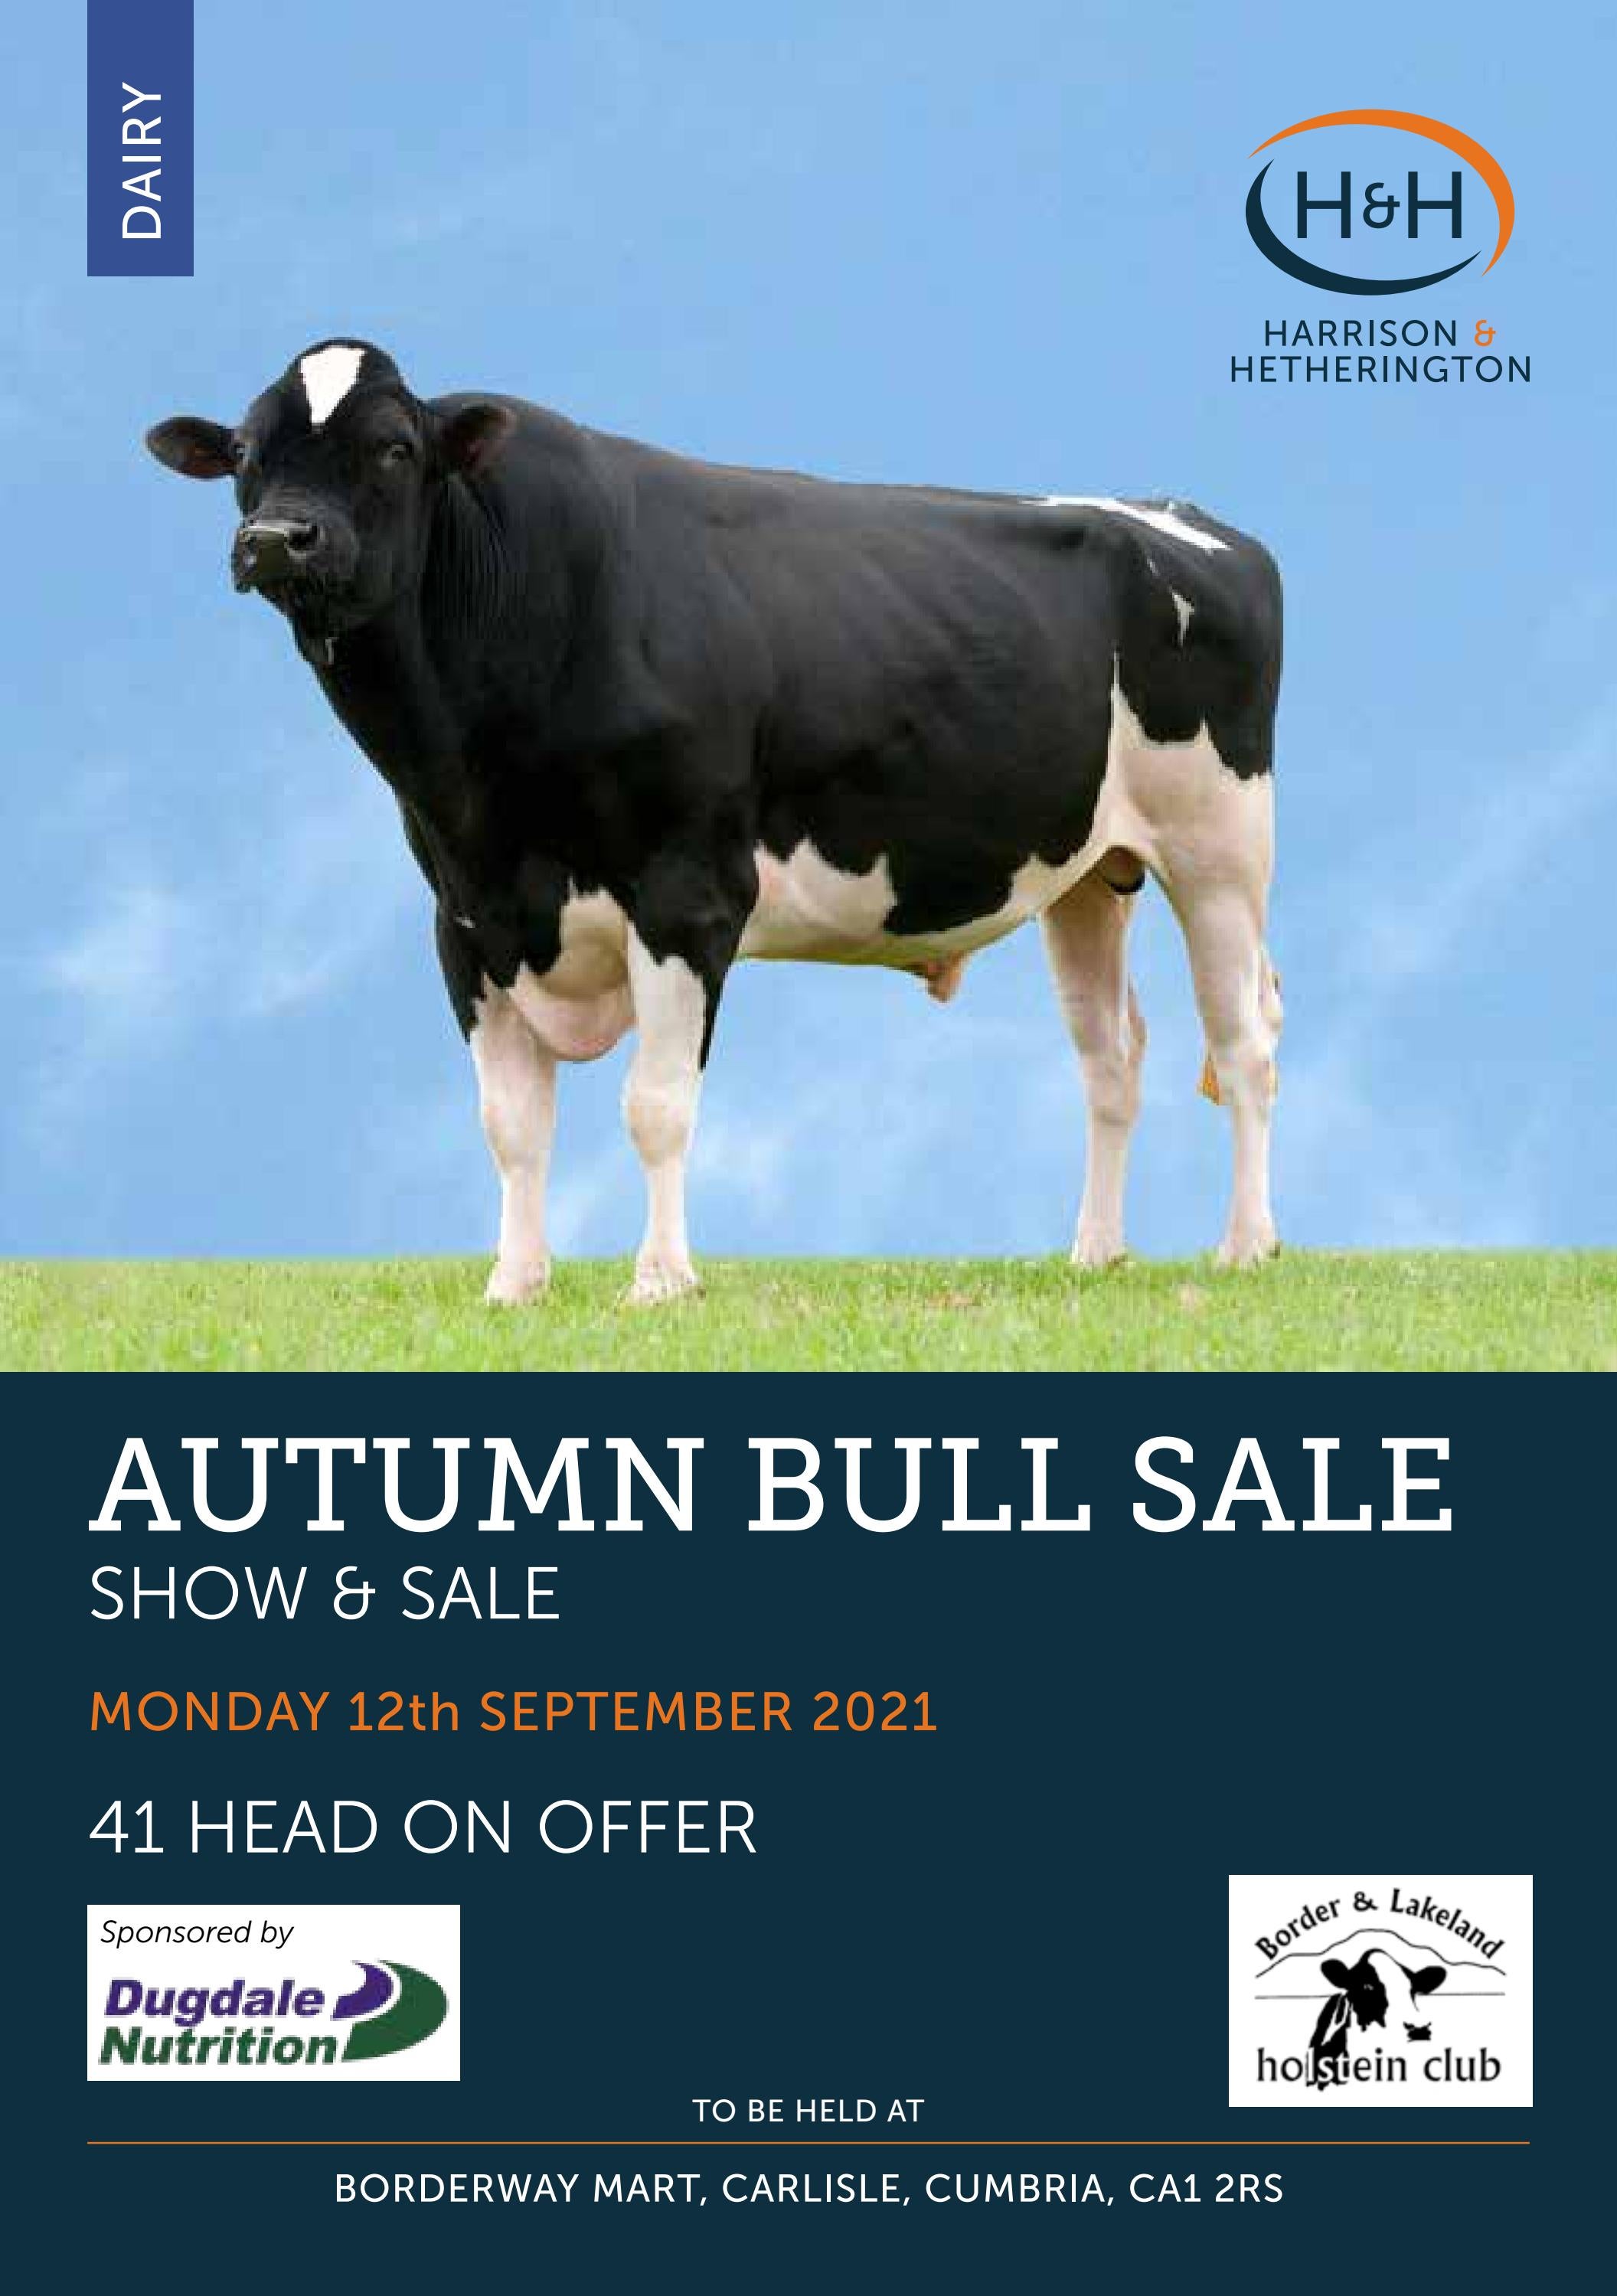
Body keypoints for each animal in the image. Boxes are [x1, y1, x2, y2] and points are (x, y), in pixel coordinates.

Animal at [146, 340, 1284, 1304]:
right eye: (245, 452)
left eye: (393, 446)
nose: (276, 540)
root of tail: (1180, 517)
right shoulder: (464, 921)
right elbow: (511, 1123)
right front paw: (515, 1284)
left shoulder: (686, 895)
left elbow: (655, 1105)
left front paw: (660, 1281)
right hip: (1091, 871)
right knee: (1111, 1056)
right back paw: (1096, 1252)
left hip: (1218, 850)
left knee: (1242, 1041)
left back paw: (1243, 1246)